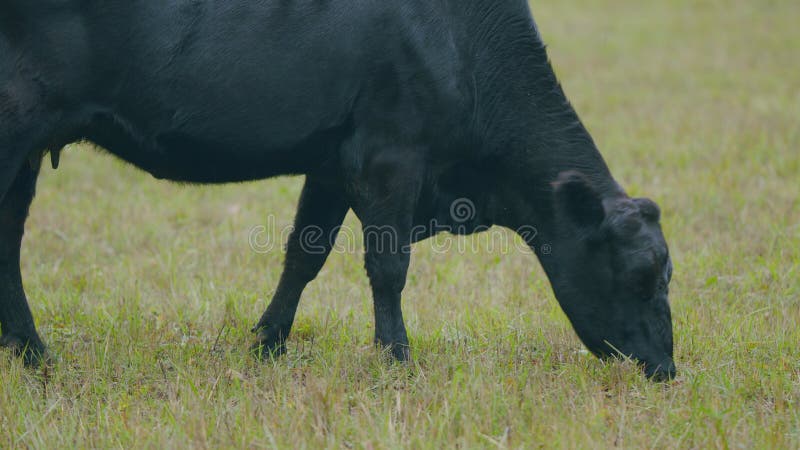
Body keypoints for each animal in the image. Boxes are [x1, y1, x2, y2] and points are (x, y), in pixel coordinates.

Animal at [0, 0, 675, 380]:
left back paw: (31, 354)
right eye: (642, 276)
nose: (666, 368)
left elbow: (305, 255)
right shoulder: (390, 153)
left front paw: (265, 347)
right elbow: (388, 266)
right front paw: (397, 362)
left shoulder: (329, 160)